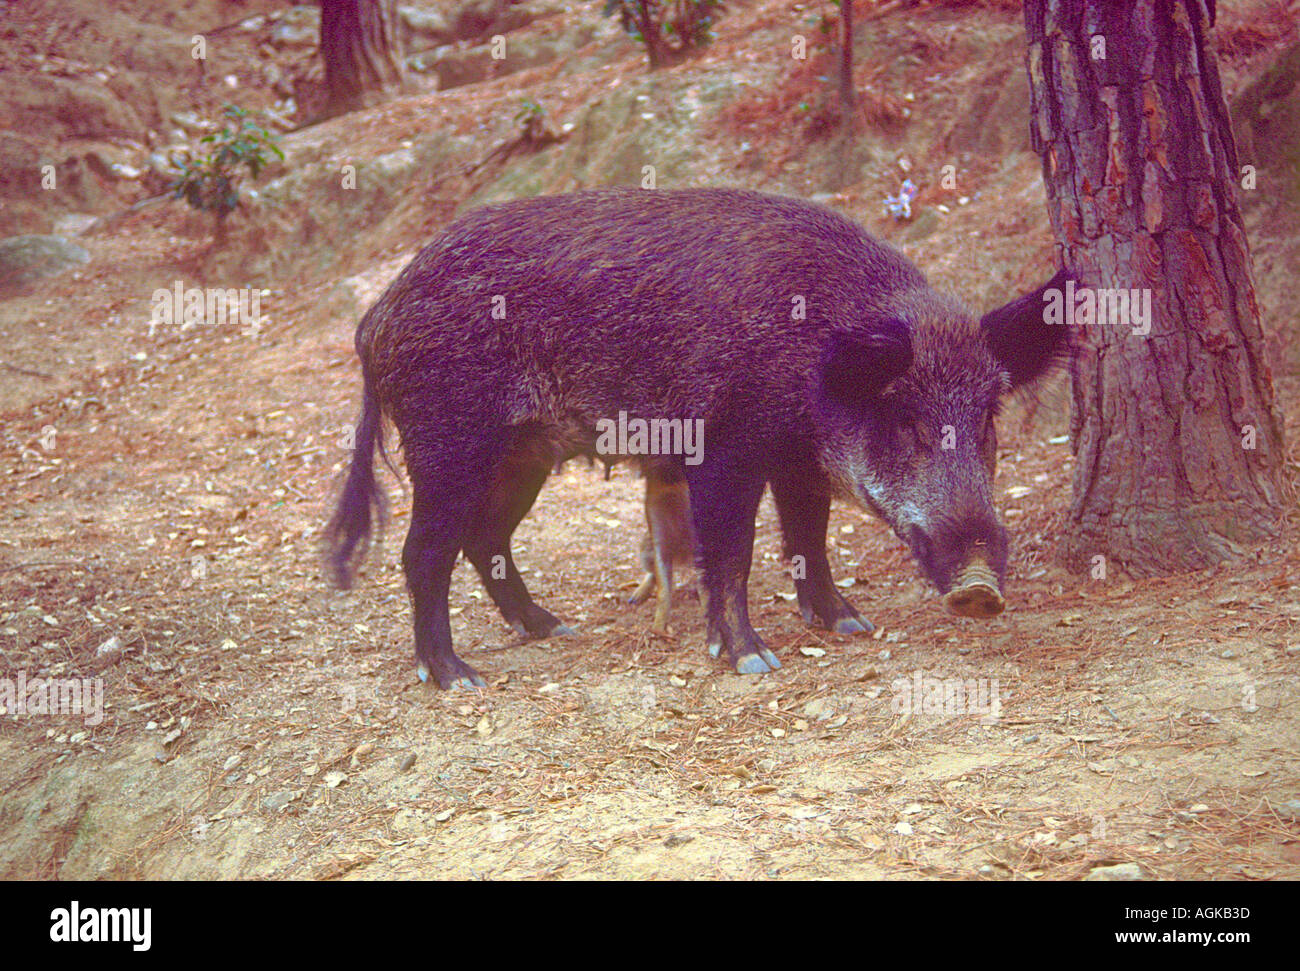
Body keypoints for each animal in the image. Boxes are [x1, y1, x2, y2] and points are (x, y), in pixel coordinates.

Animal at [325, 187, 1070, 688]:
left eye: (987, 419)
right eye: (906, 420)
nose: (980, 586)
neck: (811, 369)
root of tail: (376, 318)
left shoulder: (797, 460)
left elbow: (809, 540)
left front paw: (849, 624)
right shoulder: (724, 448)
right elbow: (733, 553)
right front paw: (753, 660)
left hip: (523, 454)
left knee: (486, 539)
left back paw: (553, 627)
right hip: (448, 441)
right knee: (423, 554)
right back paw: (458, 676)